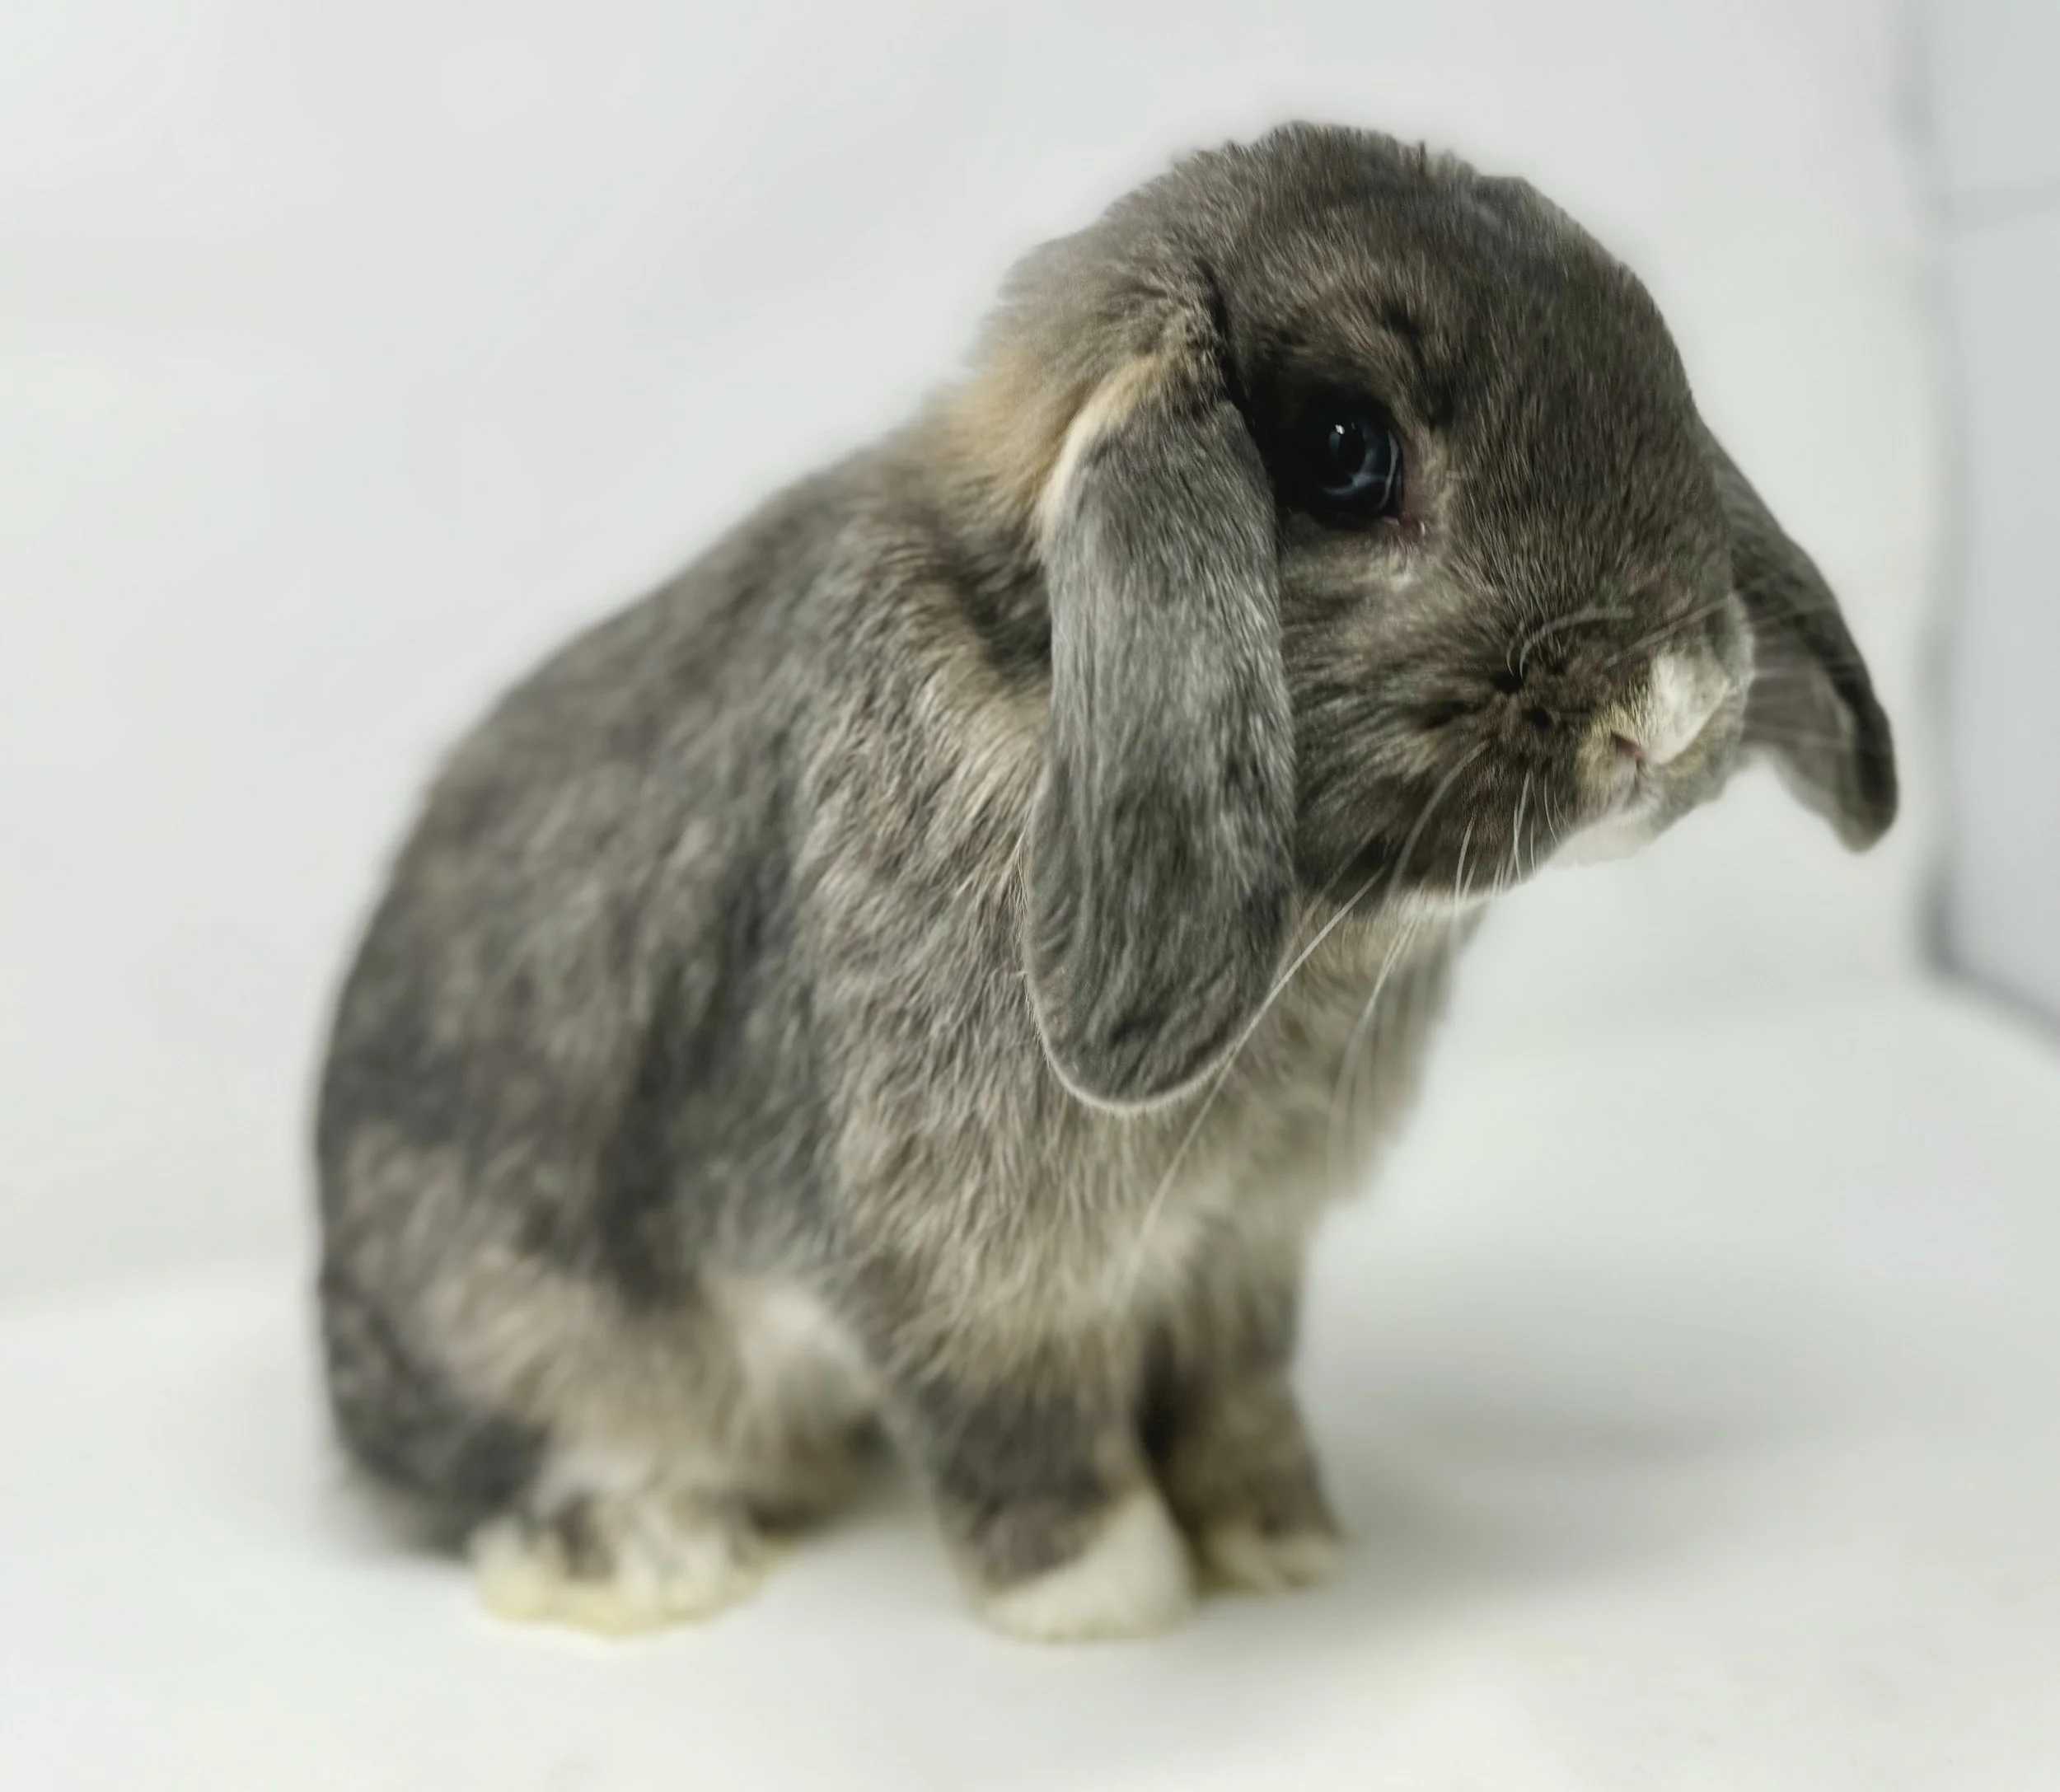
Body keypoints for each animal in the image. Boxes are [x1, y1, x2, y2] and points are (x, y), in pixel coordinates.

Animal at [315, 123, 1896, 1643]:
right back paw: (648, 1552)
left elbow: (1236, 1399)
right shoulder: (958, 1266)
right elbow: (1017, 1421)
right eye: (1348, 451)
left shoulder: (1237, 1254)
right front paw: (1104, 1593)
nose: (1676, 699)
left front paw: (1284, 1540)